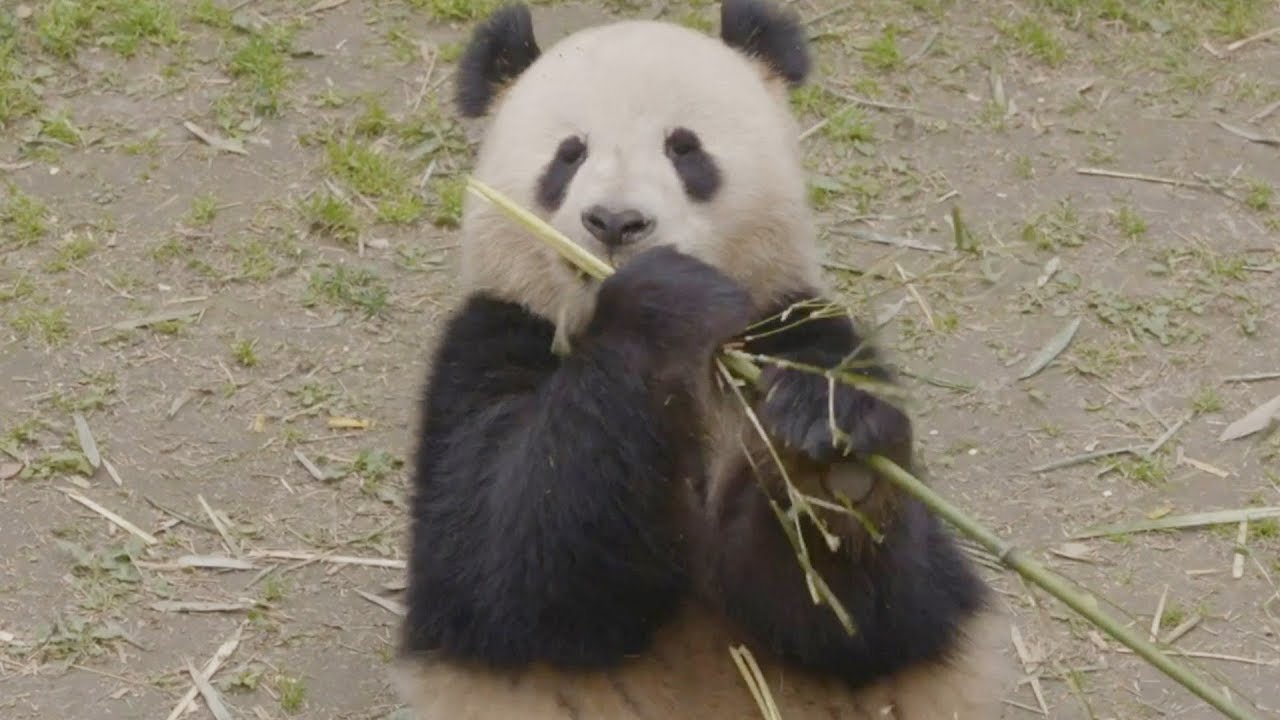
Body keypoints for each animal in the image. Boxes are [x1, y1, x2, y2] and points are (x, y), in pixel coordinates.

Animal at [393, 1, 1011, 718]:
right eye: (568, 155)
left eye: (685, 149)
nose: (616, 222)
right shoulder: (488, 344)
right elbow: (501, 559)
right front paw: (658, 304)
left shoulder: (789, 323)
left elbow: (865, 615)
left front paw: (829, 453)